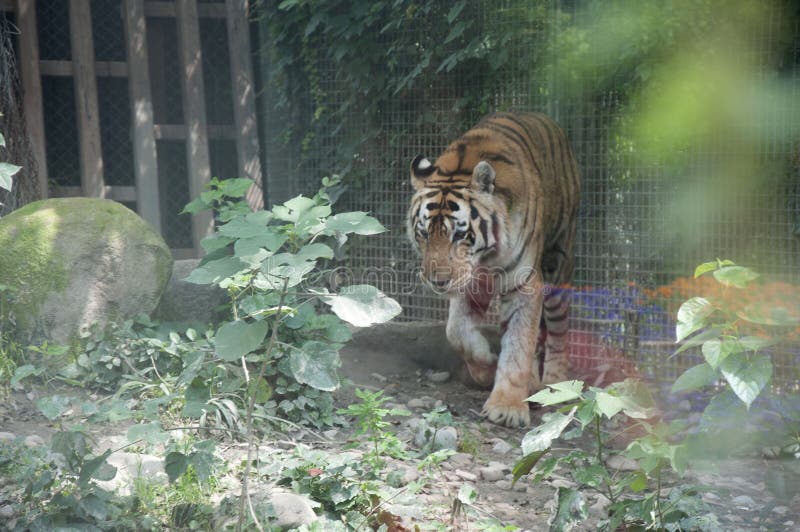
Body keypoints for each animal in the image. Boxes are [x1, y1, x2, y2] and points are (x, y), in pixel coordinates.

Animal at [407, 112, 580, 428]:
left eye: (459, 234)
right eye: (424, 234)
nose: (437, 281)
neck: (484, 259)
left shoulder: (524, 284)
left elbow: (518, 345)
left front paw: (507, 407)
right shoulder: (469, 285)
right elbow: (457, 332)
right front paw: (486, 366)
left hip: (558, 260)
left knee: (558, 326)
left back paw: (554, 384)